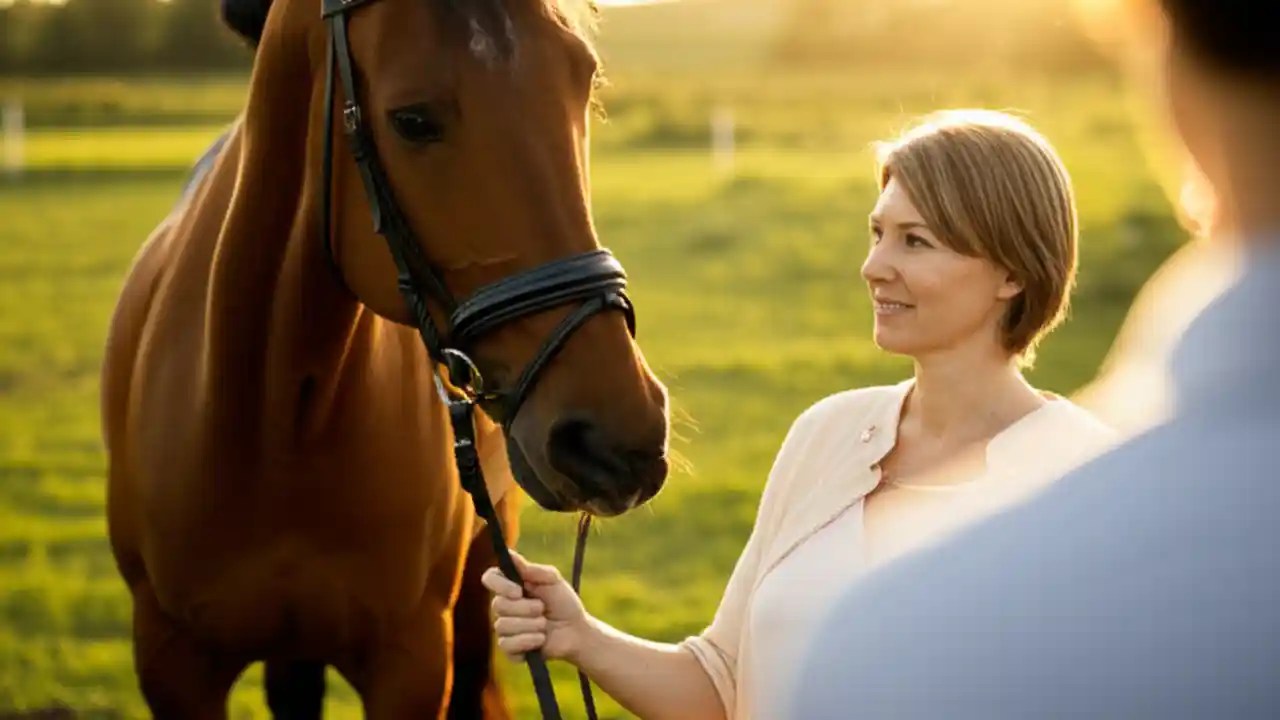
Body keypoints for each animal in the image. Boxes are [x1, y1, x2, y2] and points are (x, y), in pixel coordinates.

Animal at [99, 0, 672, 716]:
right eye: (413, 120)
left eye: (584, 83)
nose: (616, 440)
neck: (279, 424)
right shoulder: (173, 662)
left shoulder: (413, 658)